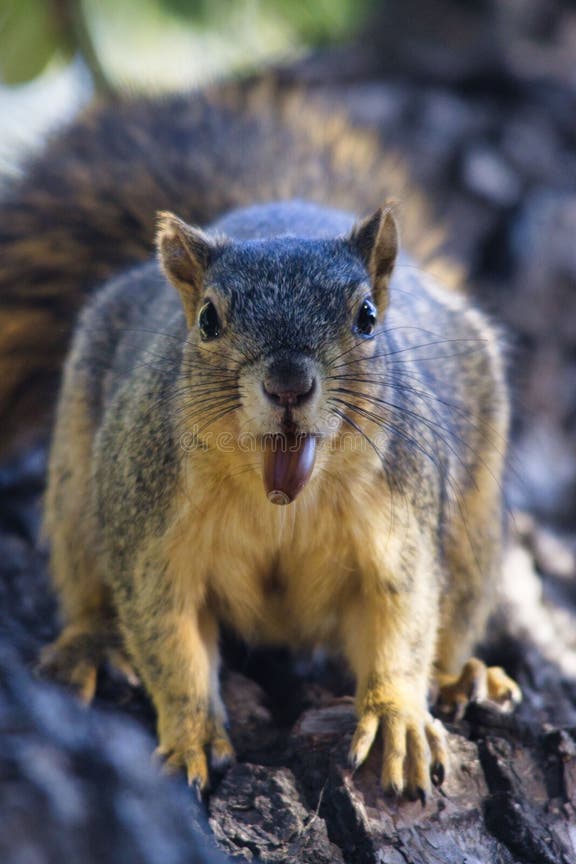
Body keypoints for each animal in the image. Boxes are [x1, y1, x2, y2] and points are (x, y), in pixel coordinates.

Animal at [0, 78, 520, 800]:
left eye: (367, 317)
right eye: (208, 319)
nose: (288, 383)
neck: (283, 505)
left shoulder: (402, 533)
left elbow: (402, 624)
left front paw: (396, 717)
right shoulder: (151, 538)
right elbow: (169, 639)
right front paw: (191, 736)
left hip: (472, 530)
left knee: (452, 617)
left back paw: (462, 676)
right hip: (79, 486)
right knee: (86, 579)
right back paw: (91, 643)